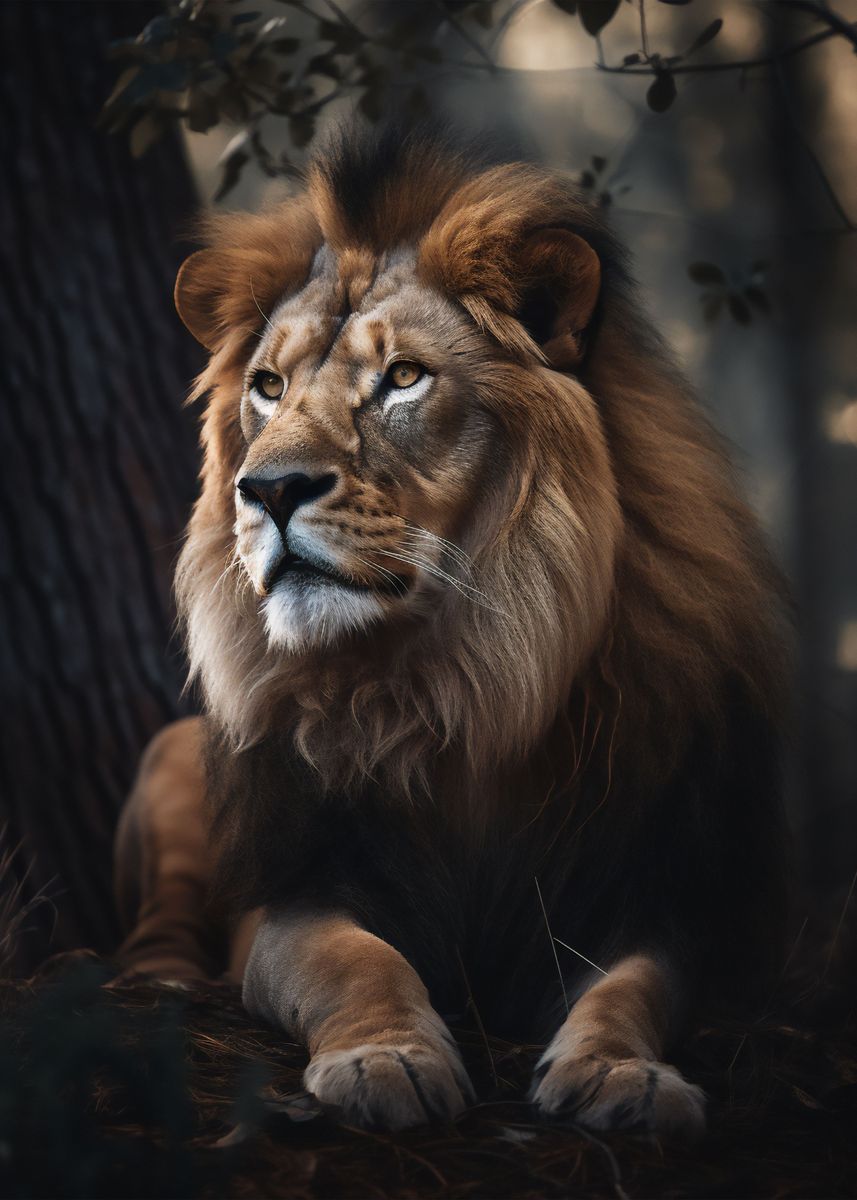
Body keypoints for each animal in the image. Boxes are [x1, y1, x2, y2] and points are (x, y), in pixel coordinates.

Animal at [114, 125, 789, 1139]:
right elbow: (356, 961)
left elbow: (632, 990)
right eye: (267, 387)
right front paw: (387, 1058)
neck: (463, 674)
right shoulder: (300, 892)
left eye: (402, 378)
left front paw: (622, 1075)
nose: (267, 489)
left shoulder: (637, 887)